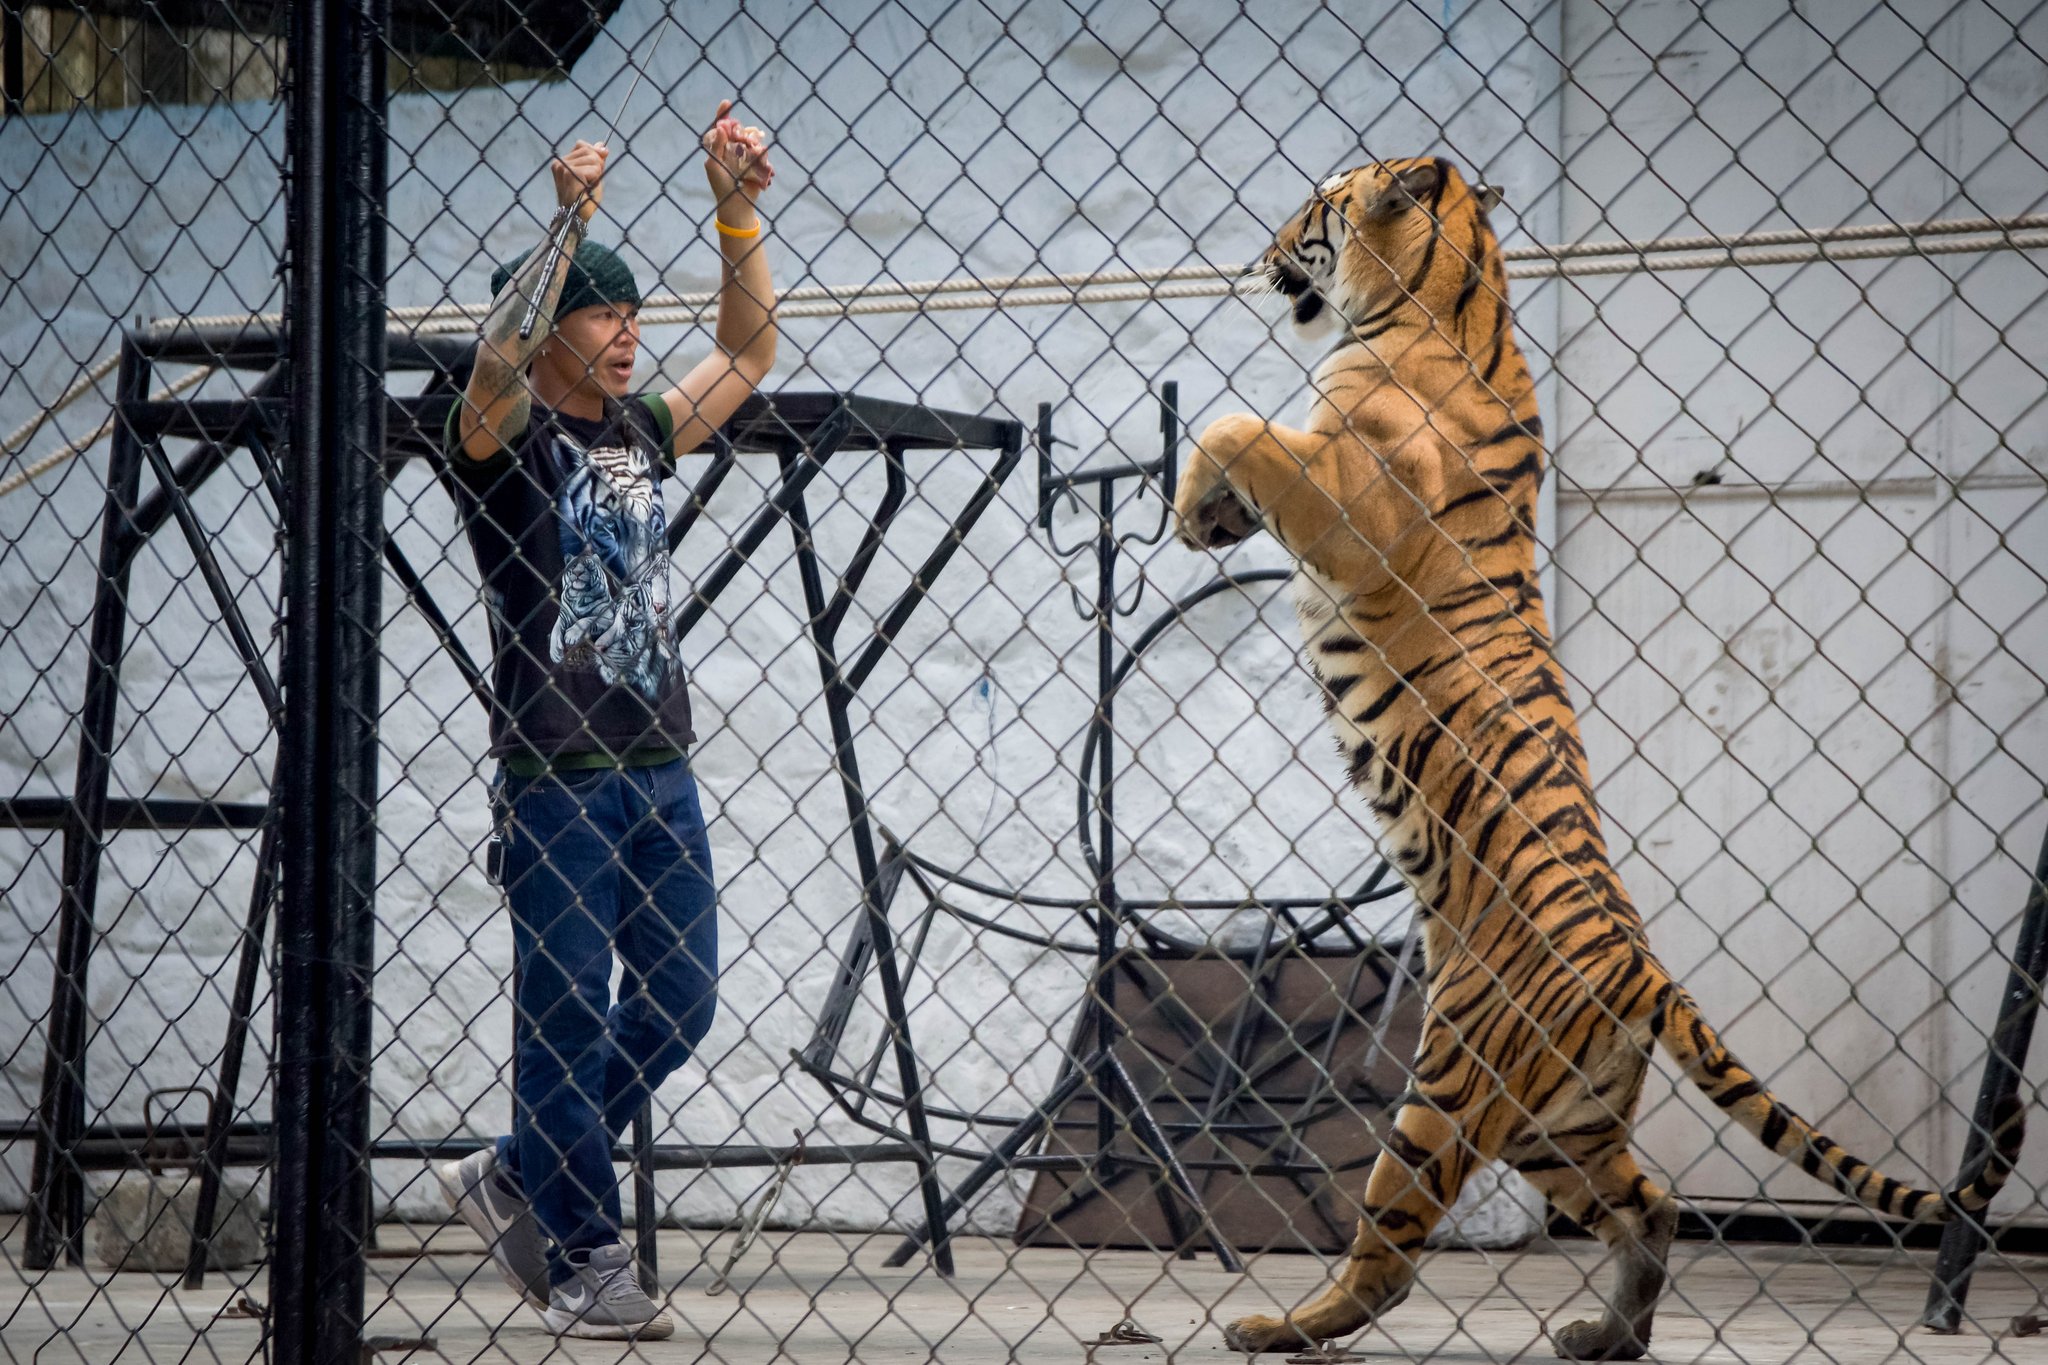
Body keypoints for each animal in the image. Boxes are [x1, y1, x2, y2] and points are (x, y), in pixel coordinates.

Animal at [1170, 156, 2021, 1359]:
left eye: (1315, 204)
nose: (1260, 249)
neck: (1446, 299)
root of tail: (1644, 969)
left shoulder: (1356, 502)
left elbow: (1238, 420)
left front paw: (1200, 507)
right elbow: (1240, 430)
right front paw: (1209, 518)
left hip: (1448, 1084)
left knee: (1392, 1248)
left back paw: (1284, 1323)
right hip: (1559, 1120)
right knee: (1649, 1202)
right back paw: (1604, 1335)